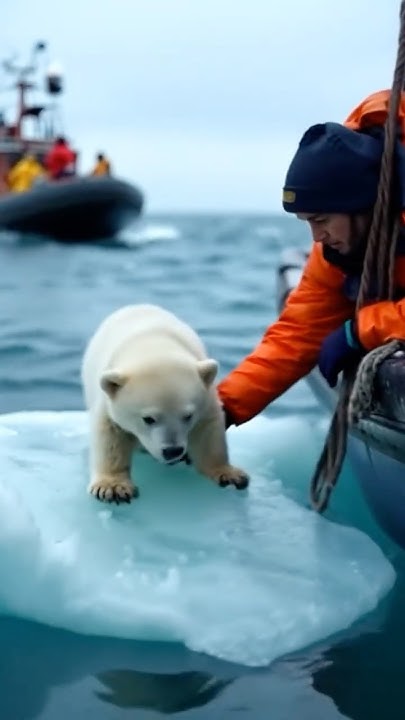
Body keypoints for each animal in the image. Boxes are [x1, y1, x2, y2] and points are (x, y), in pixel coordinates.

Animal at [81, 304, 249, 503]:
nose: (173, 451)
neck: (155, 345)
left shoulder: (207, 397)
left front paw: (229, 475)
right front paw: (113, 488)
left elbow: (208, 431)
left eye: (187, 416)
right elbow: (111, 434)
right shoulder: (108, 400)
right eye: (148, 419)